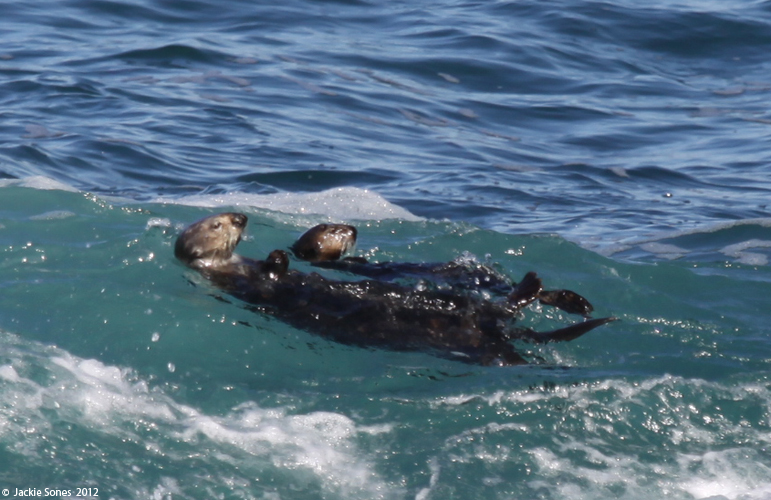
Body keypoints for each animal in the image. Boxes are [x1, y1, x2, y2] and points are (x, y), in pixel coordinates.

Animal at [175, 213, 615, 366]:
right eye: (217, 224)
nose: (241, 217)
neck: (233, 265)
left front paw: (279, 255)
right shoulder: (242, 281)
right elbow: (268, 278)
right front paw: (277, 258)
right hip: (477, 331)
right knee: (510, 312)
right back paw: (537, 289)